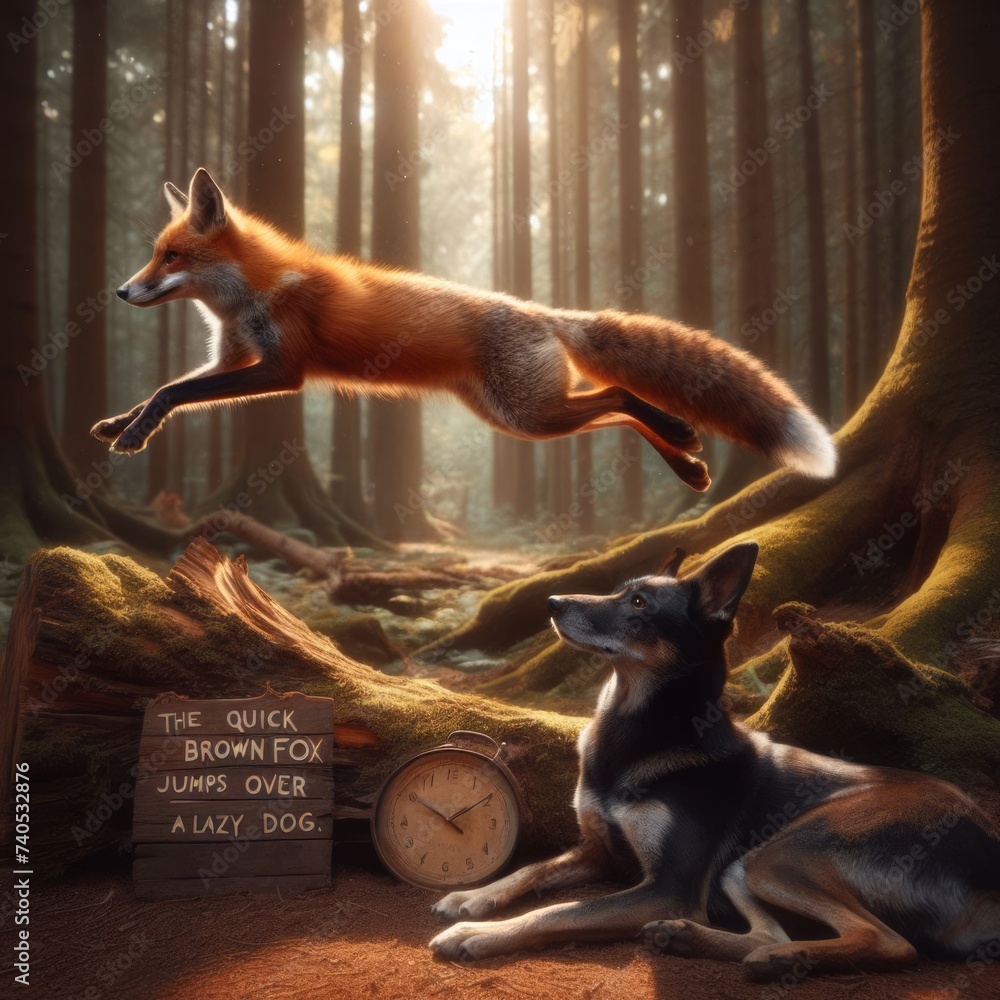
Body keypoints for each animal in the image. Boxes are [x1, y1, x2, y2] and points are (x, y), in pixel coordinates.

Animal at [95, 168, 837, 491]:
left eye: (172, 257)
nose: (122, 291)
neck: (248, 298)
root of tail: (544, 313)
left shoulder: (281, 369)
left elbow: (175, 393)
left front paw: (131, 431)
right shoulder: (232, 360)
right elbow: (166, 390)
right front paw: (119, 424)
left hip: (528, 414)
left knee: (620, 399)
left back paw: (681, 440)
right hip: (518, 419)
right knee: (612, 410)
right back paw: (686, 461)